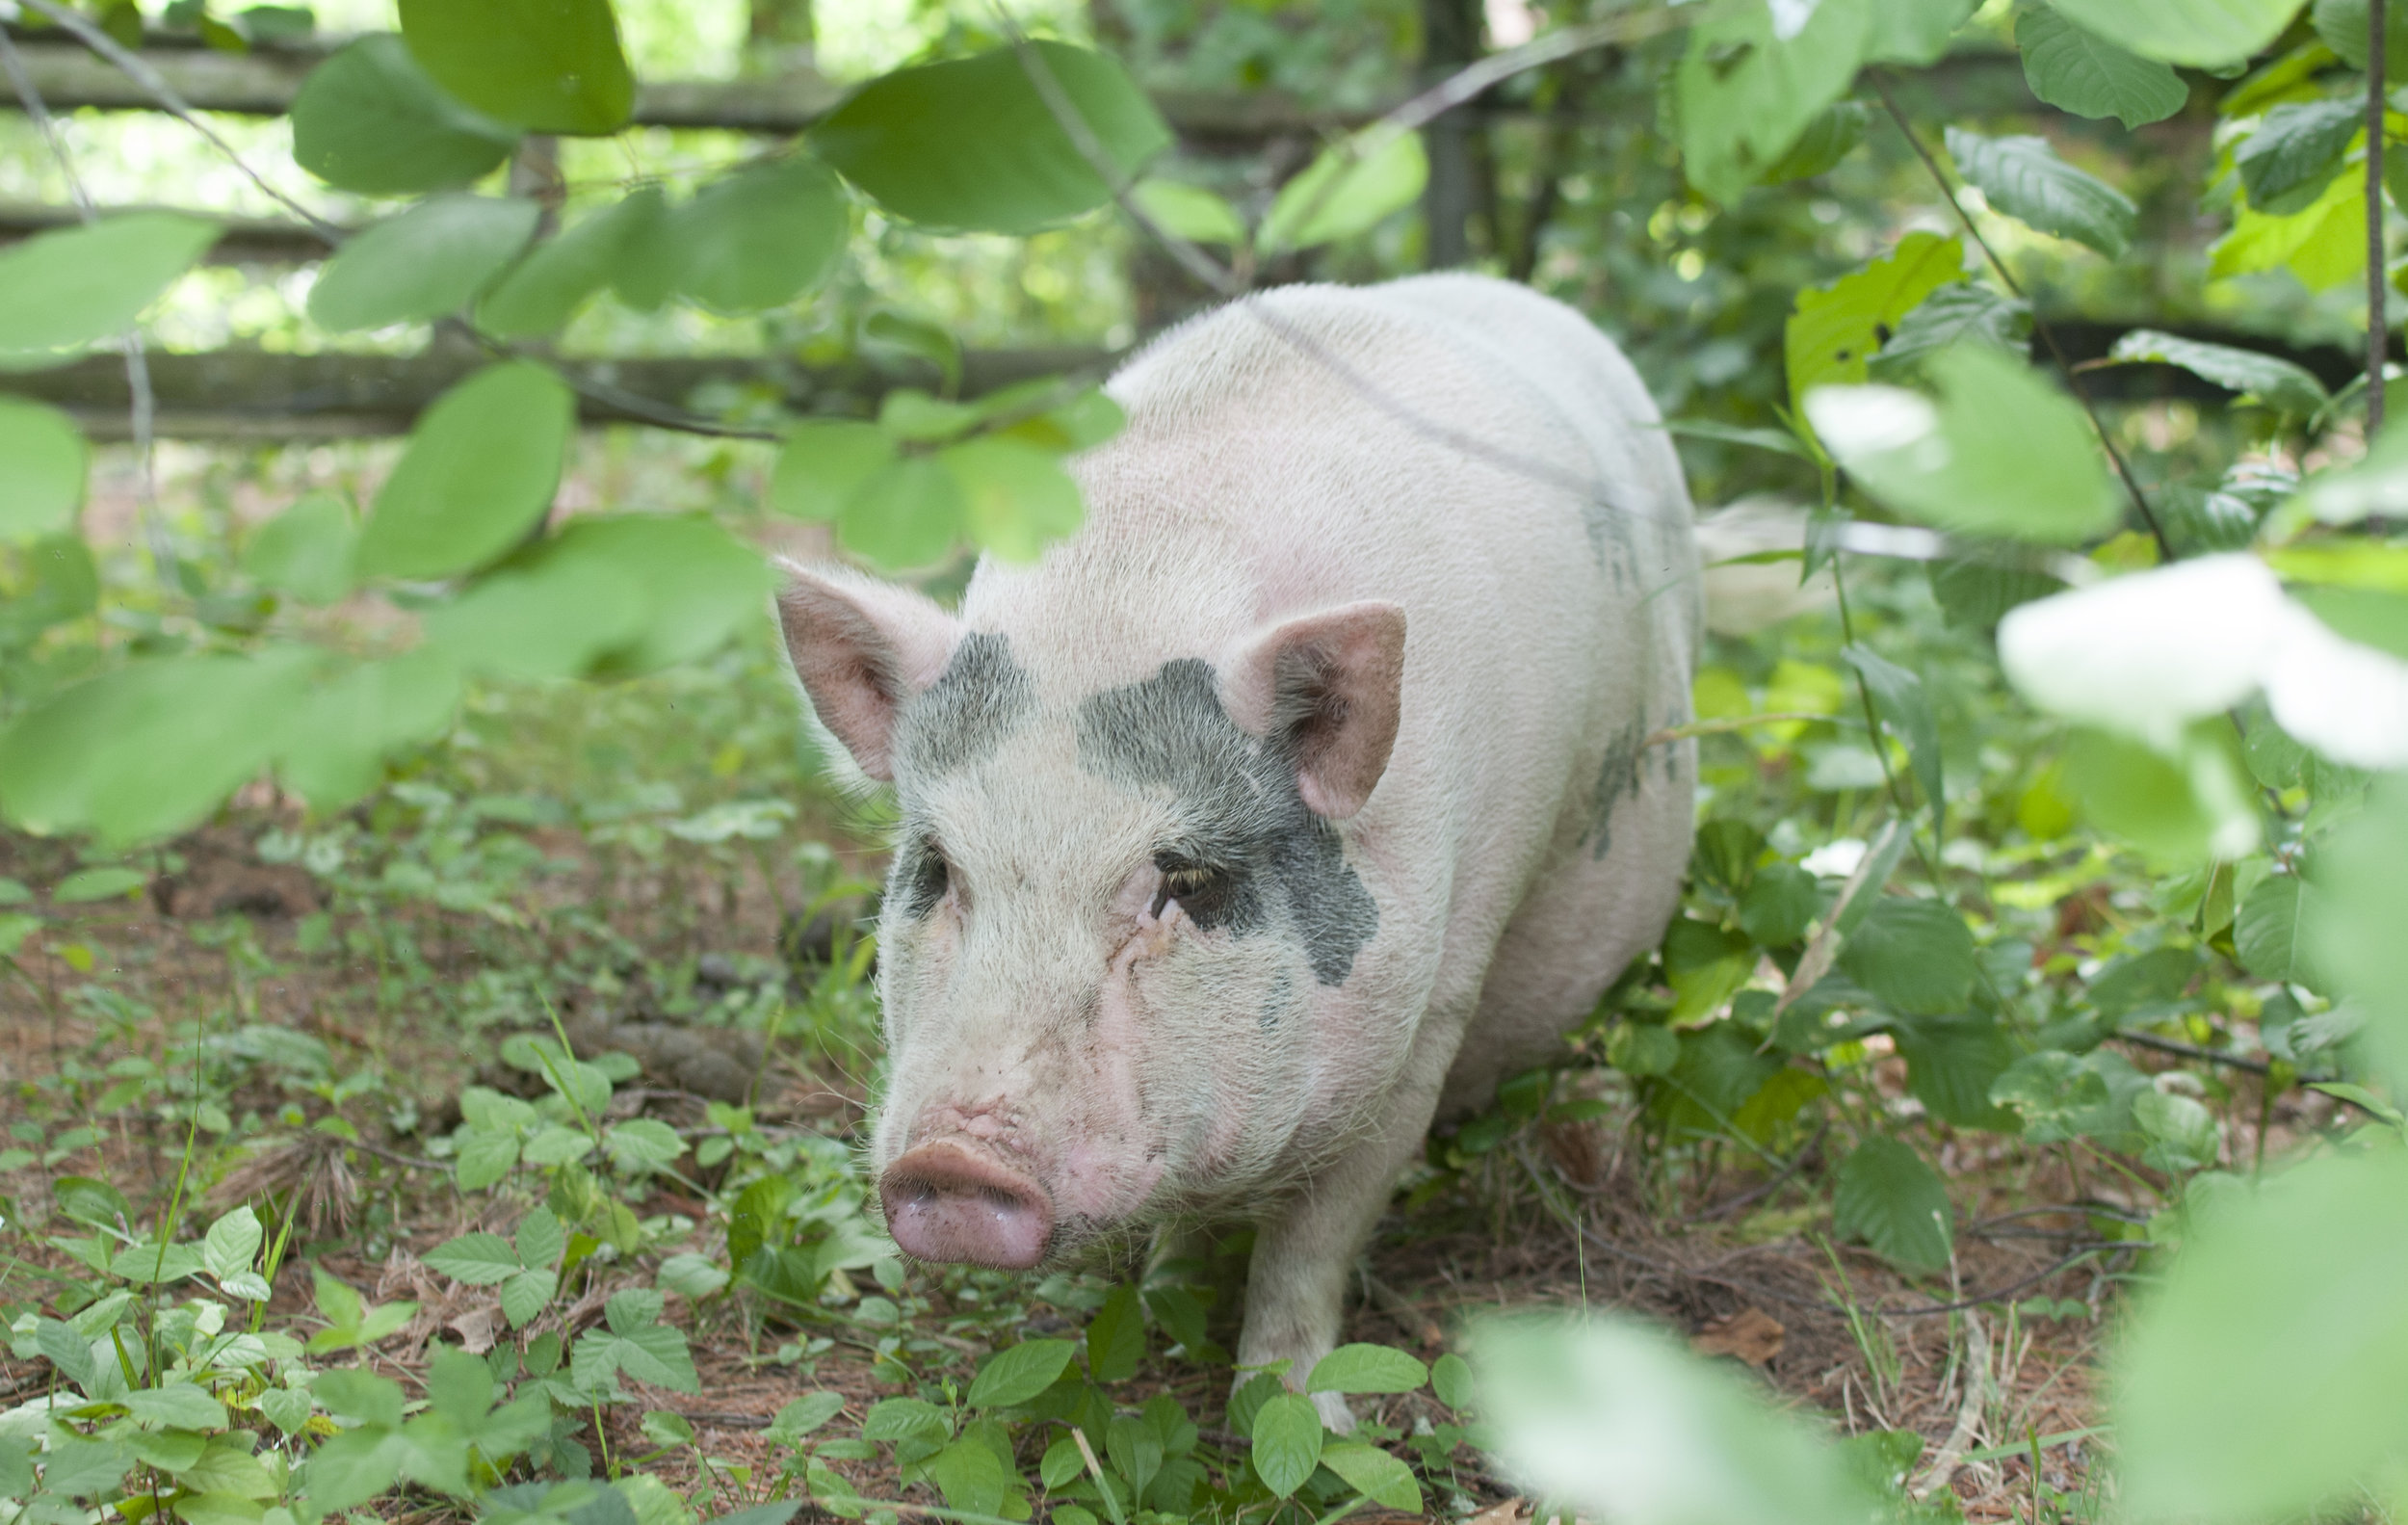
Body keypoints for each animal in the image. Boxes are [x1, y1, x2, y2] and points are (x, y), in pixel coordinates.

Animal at [774, 273, 1700, 1413]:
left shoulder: (1427, 1010)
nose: (952, 1162)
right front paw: (1167, 1309)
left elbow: (1314, 1241)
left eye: (1182, 879)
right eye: (942, 868)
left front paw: (1301, 1409)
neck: (1133, 582)